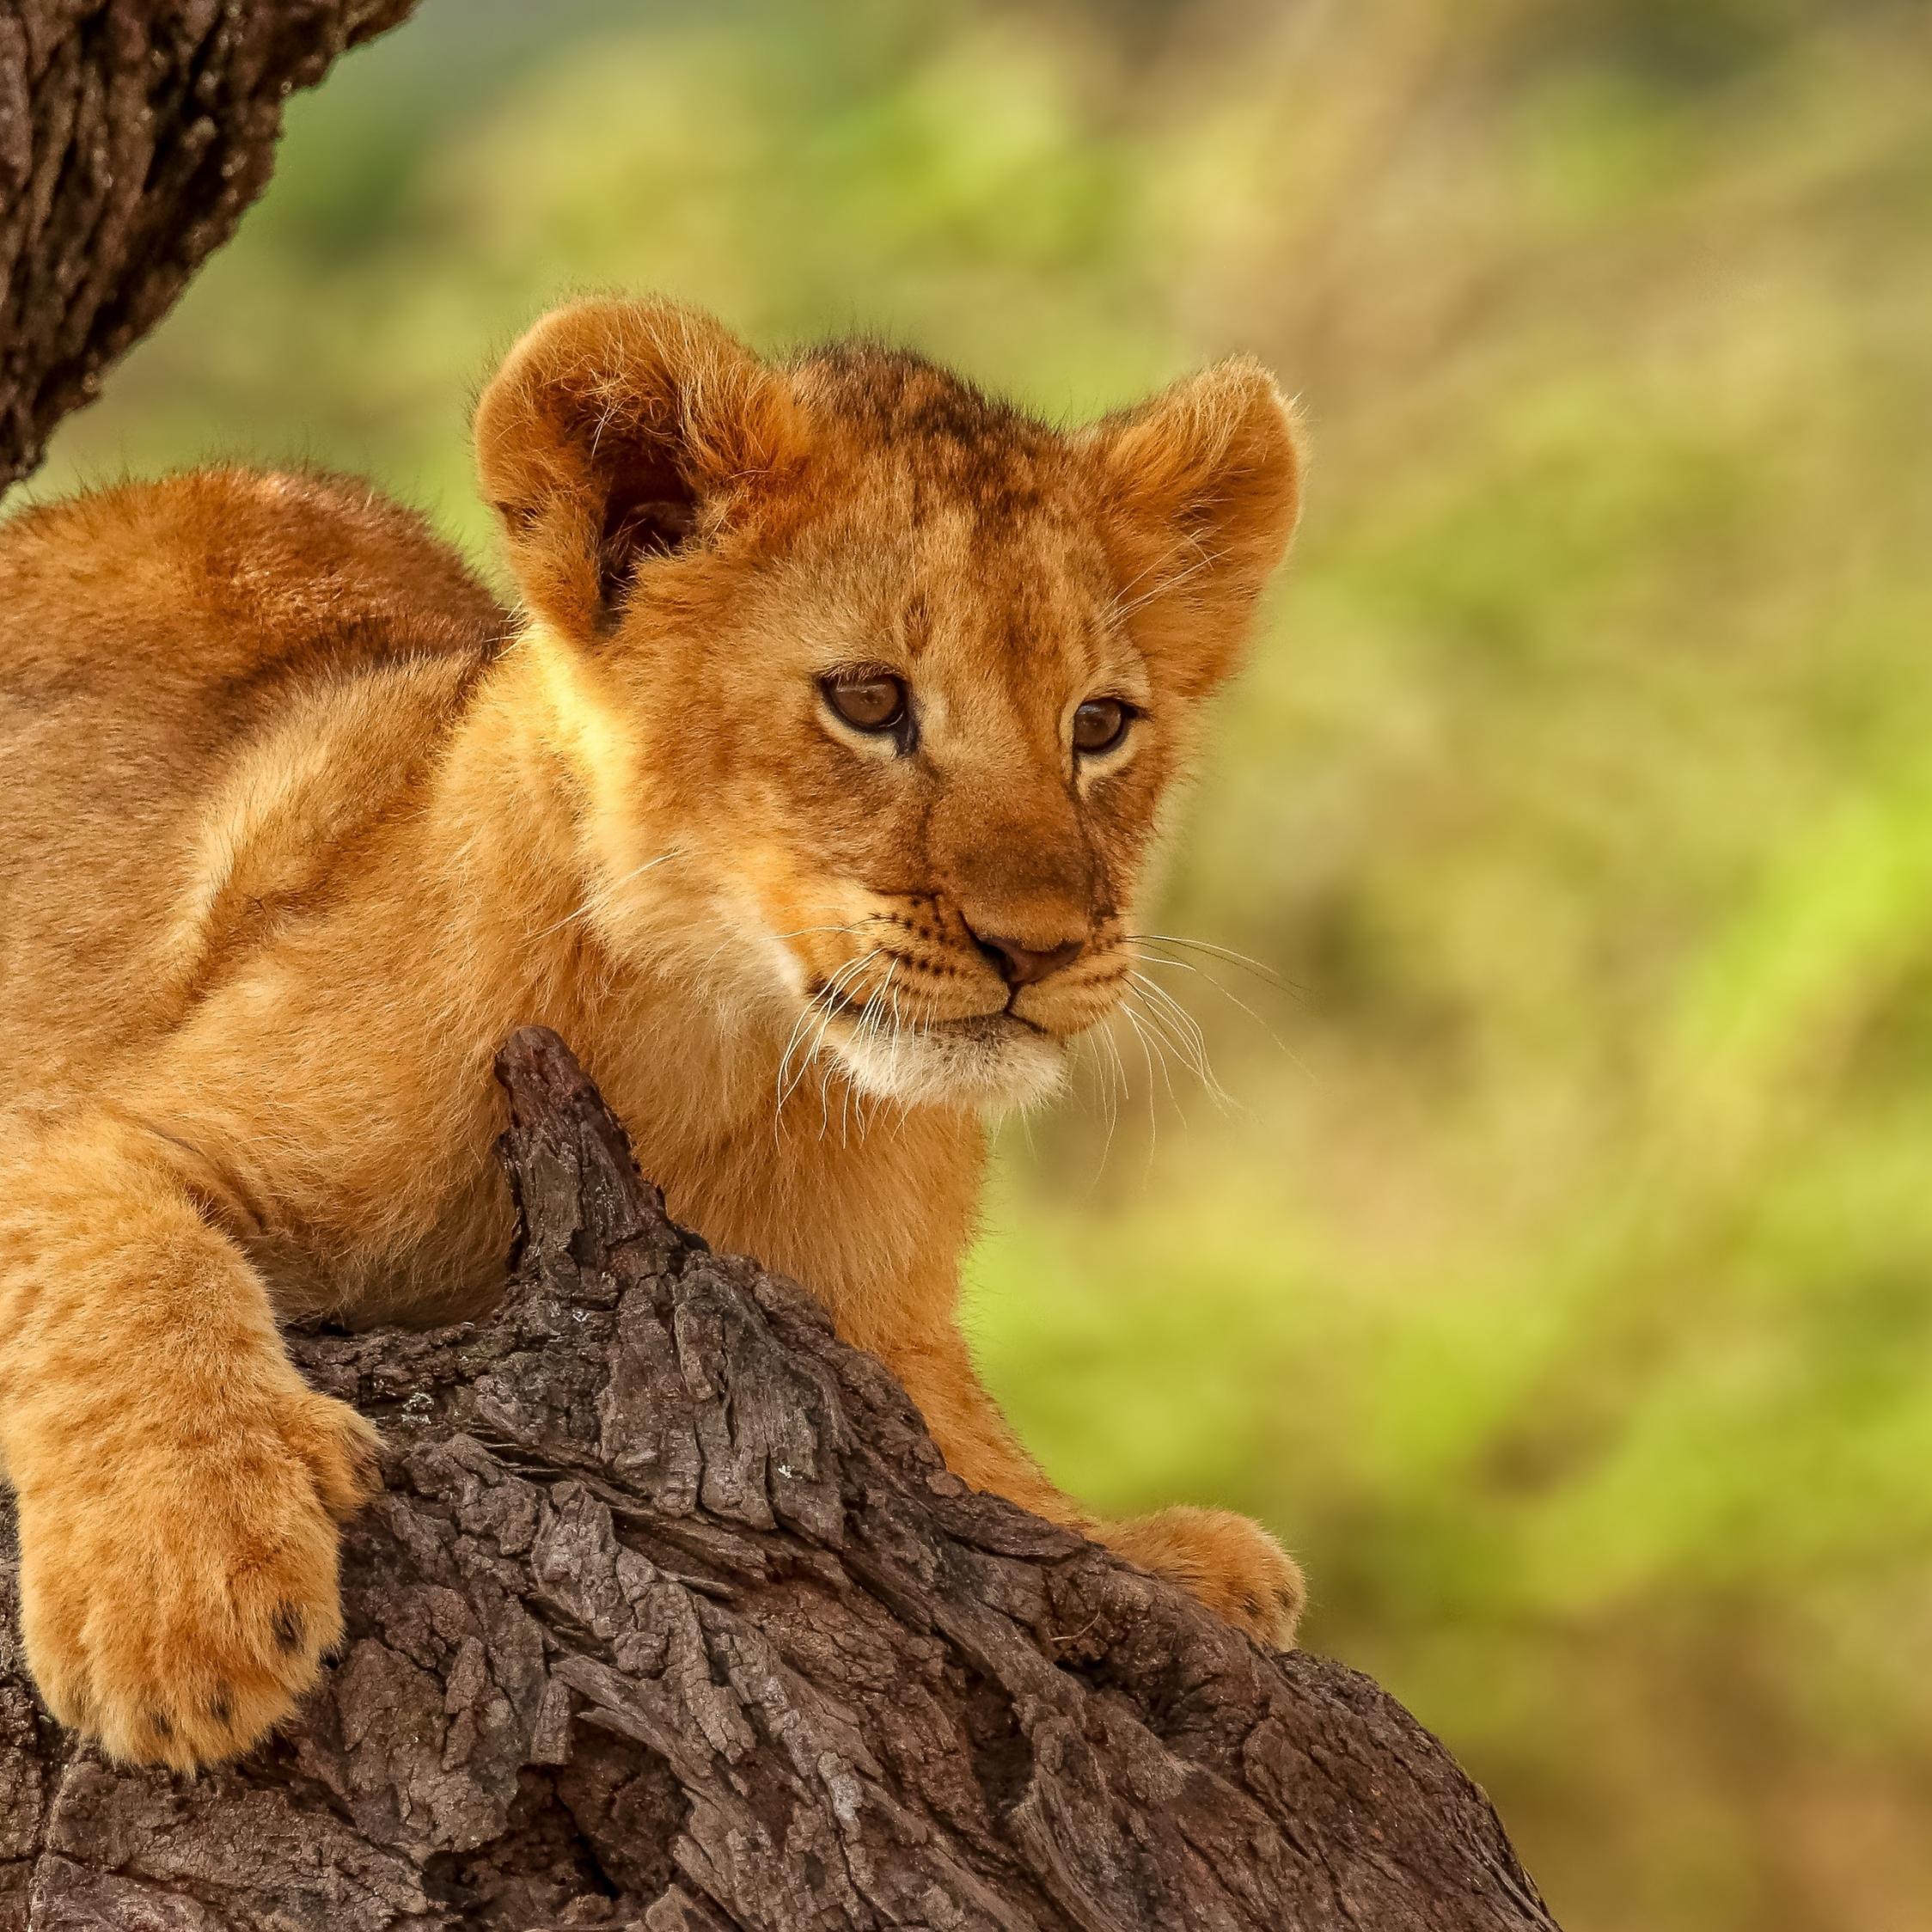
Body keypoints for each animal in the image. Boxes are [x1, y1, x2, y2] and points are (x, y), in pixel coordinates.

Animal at [0, 298, 1304, 1769]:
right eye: (868, 700)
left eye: (1100, 725)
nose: (1039, 949)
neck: (715, 1055)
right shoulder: (82, 1132)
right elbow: (133, 1271)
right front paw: (185, 1601)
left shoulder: (889, 1340)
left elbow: (997, 1470)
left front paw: (1174, 1558)